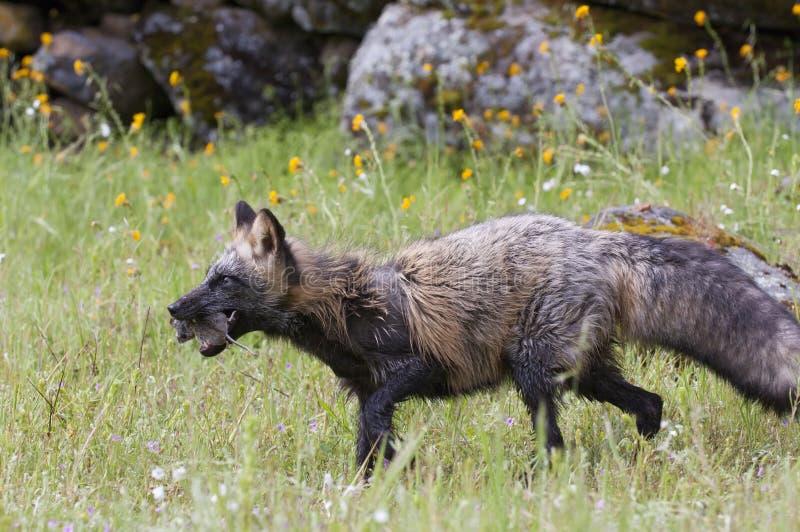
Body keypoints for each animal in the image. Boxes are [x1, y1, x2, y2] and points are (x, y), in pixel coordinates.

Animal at [168, 200, 800, 473]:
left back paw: (543, 482)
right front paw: (373, 485)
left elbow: (375, 420)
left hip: (532, 374)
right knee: (650, 400)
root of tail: (600, 240)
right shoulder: (366, 387)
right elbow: (369, 438)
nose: (173, 308)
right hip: (584, 372)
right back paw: (644, 451)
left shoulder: (416, 367)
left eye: (222, 281)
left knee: (557, 443)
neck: (344, 304)